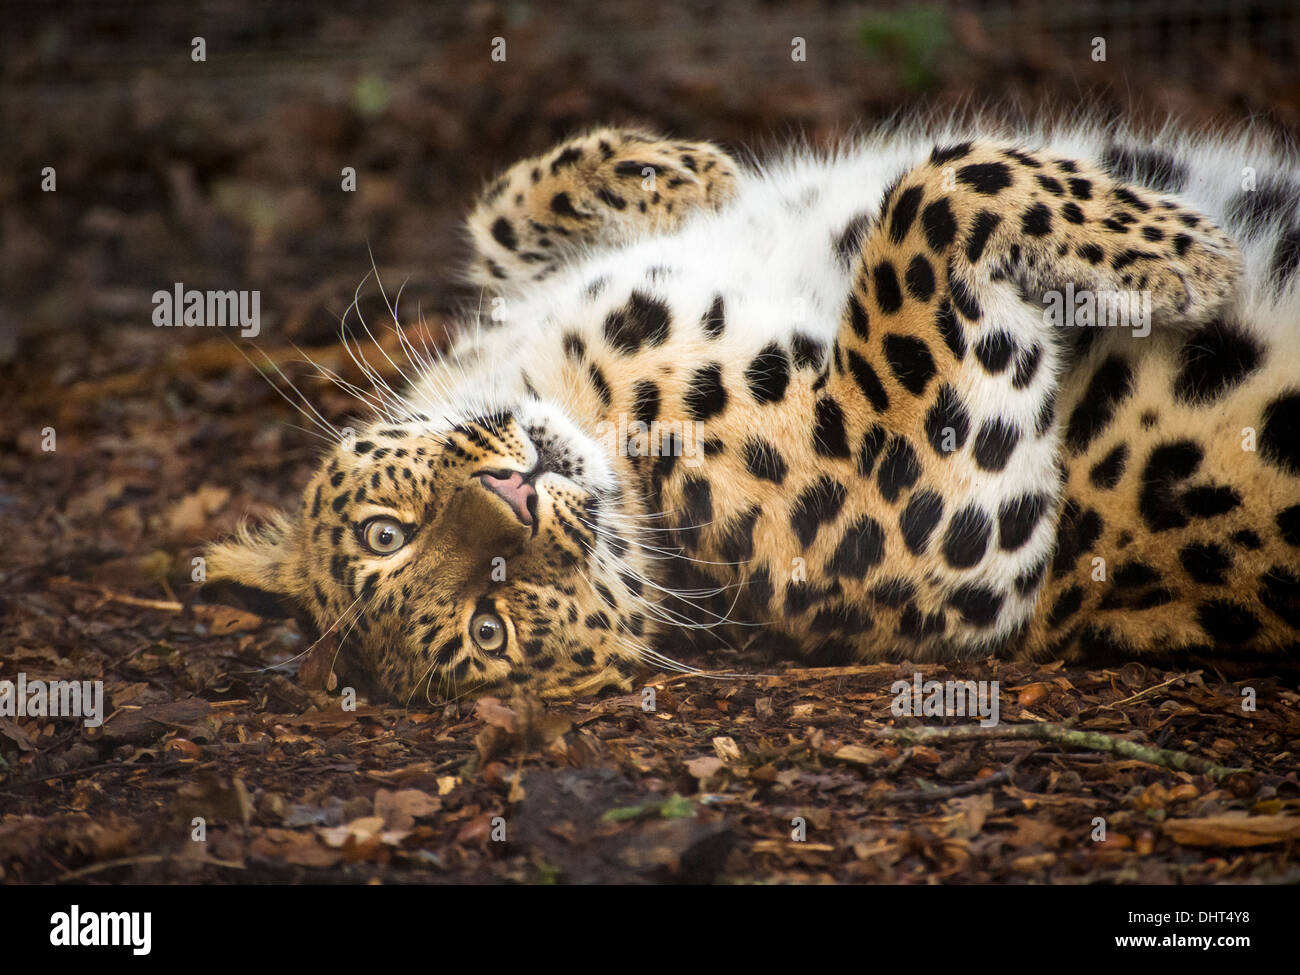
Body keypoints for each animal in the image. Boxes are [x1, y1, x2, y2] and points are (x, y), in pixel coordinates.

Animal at [202, 122, 1300, 705]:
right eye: (490, 627)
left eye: (386, 533)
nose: (516, 493)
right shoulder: (932, 525)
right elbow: (930, 194)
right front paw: (1181, 254)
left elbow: (500, 211)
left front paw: (664, 173)